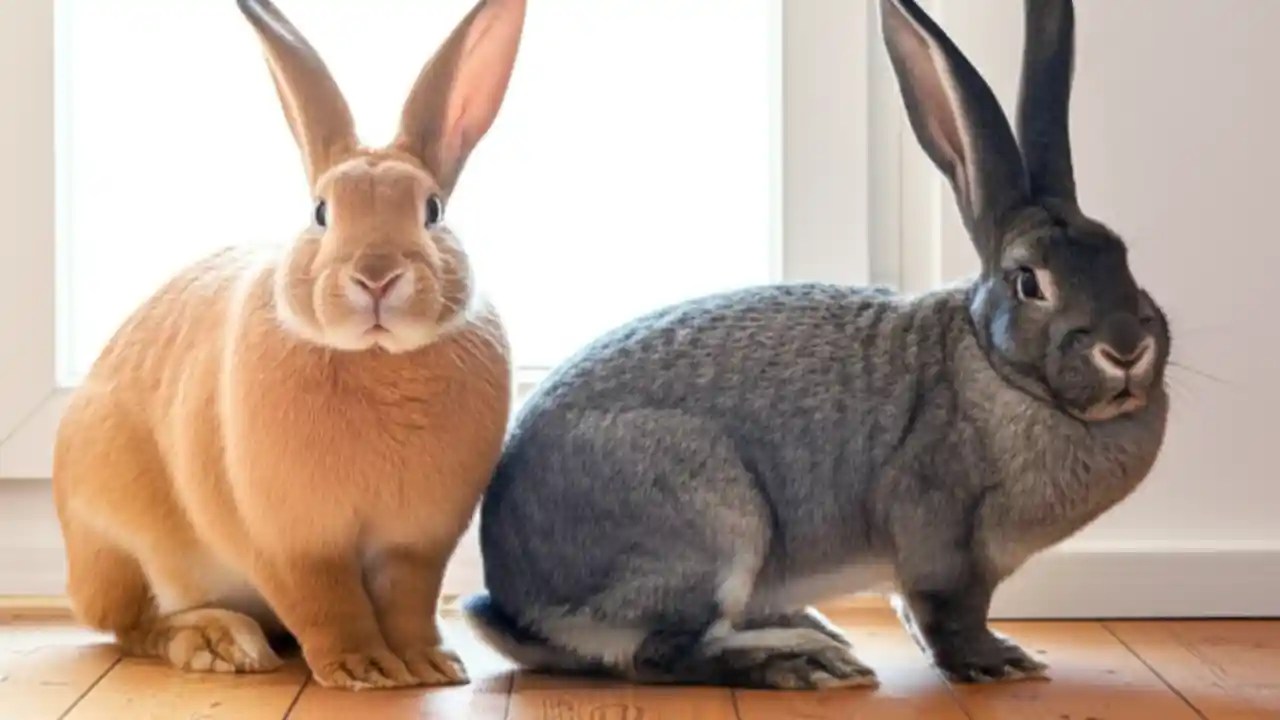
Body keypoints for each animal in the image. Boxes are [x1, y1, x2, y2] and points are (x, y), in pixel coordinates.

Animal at [50, 0, 524, 691]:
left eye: (432, 210)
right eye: (321, 213)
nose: (376, 277)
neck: (376, 359)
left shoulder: (417, 545)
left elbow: (408, 602)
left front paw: (428, 665)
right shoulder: (293, 543)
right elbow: (328, 602)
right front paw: (362, 668)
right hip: (121, 544)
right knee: (135, 626)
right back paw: (219, 642)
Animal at [464, 0, 1170, 690]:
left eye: (1123, 257)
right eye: (1029, 282)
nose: (1127, 348)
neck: (995, 367)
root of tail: (515, 598)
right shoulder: (942, 536)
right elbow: (946, 616)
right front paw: (998, 662)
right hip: (712, 524)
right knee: (662, 653)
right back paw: (806, 659)